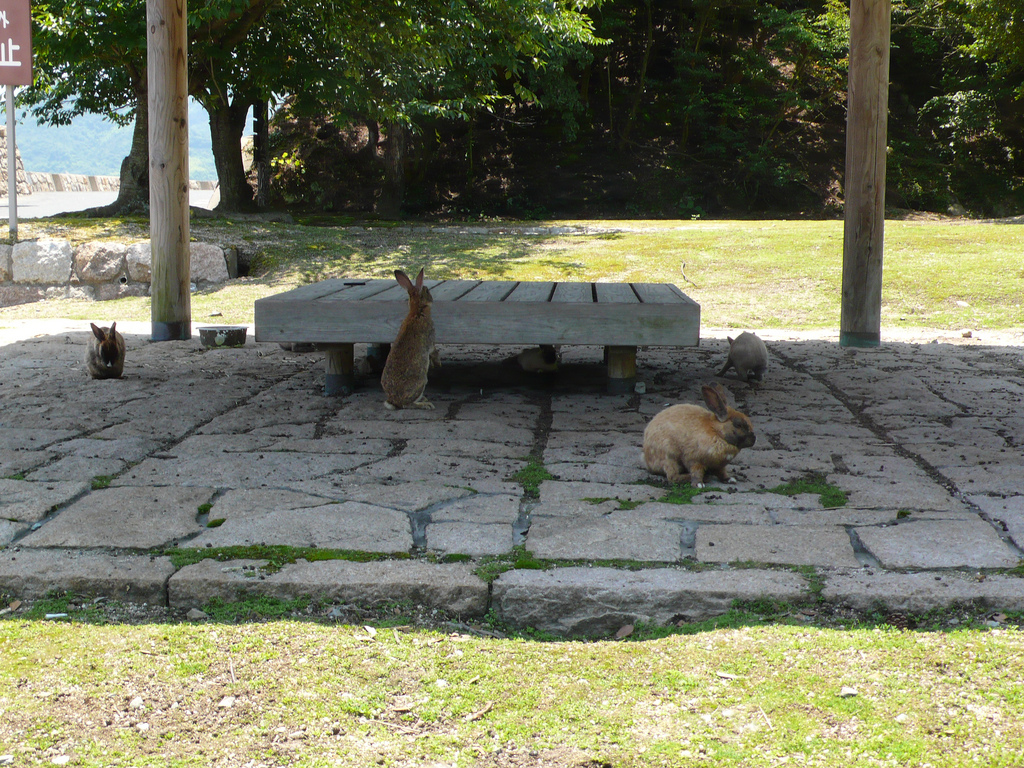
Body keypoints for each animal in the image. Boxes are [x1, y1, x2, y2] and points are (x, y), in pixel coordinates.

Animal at [381, 268, 439, 410]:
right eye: (427, 291)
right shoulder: (430, 339)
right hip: (421, 381)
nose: (432, 299)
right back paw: (425, 404)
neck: (417, 311)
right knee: (408, 404)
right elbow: (432, 350)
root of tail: (394, 400)